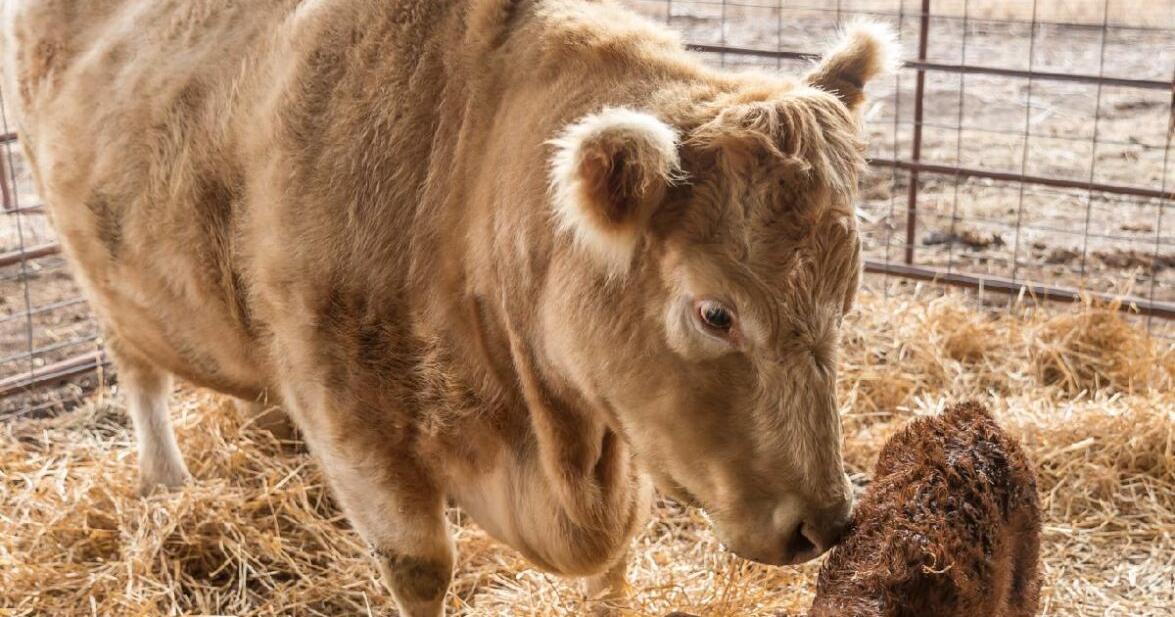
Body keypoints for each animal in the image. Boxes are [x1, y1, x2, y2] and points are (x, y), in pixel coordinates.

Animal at [1, 1, 895, 615]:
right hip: (100, 277)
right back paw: (164, 479)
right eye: (715, 314)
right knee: (139, 374)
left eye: (847, 292)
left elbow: (613, 560)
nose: (826, 521)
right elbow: (420, 565)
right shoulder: (355, 424)